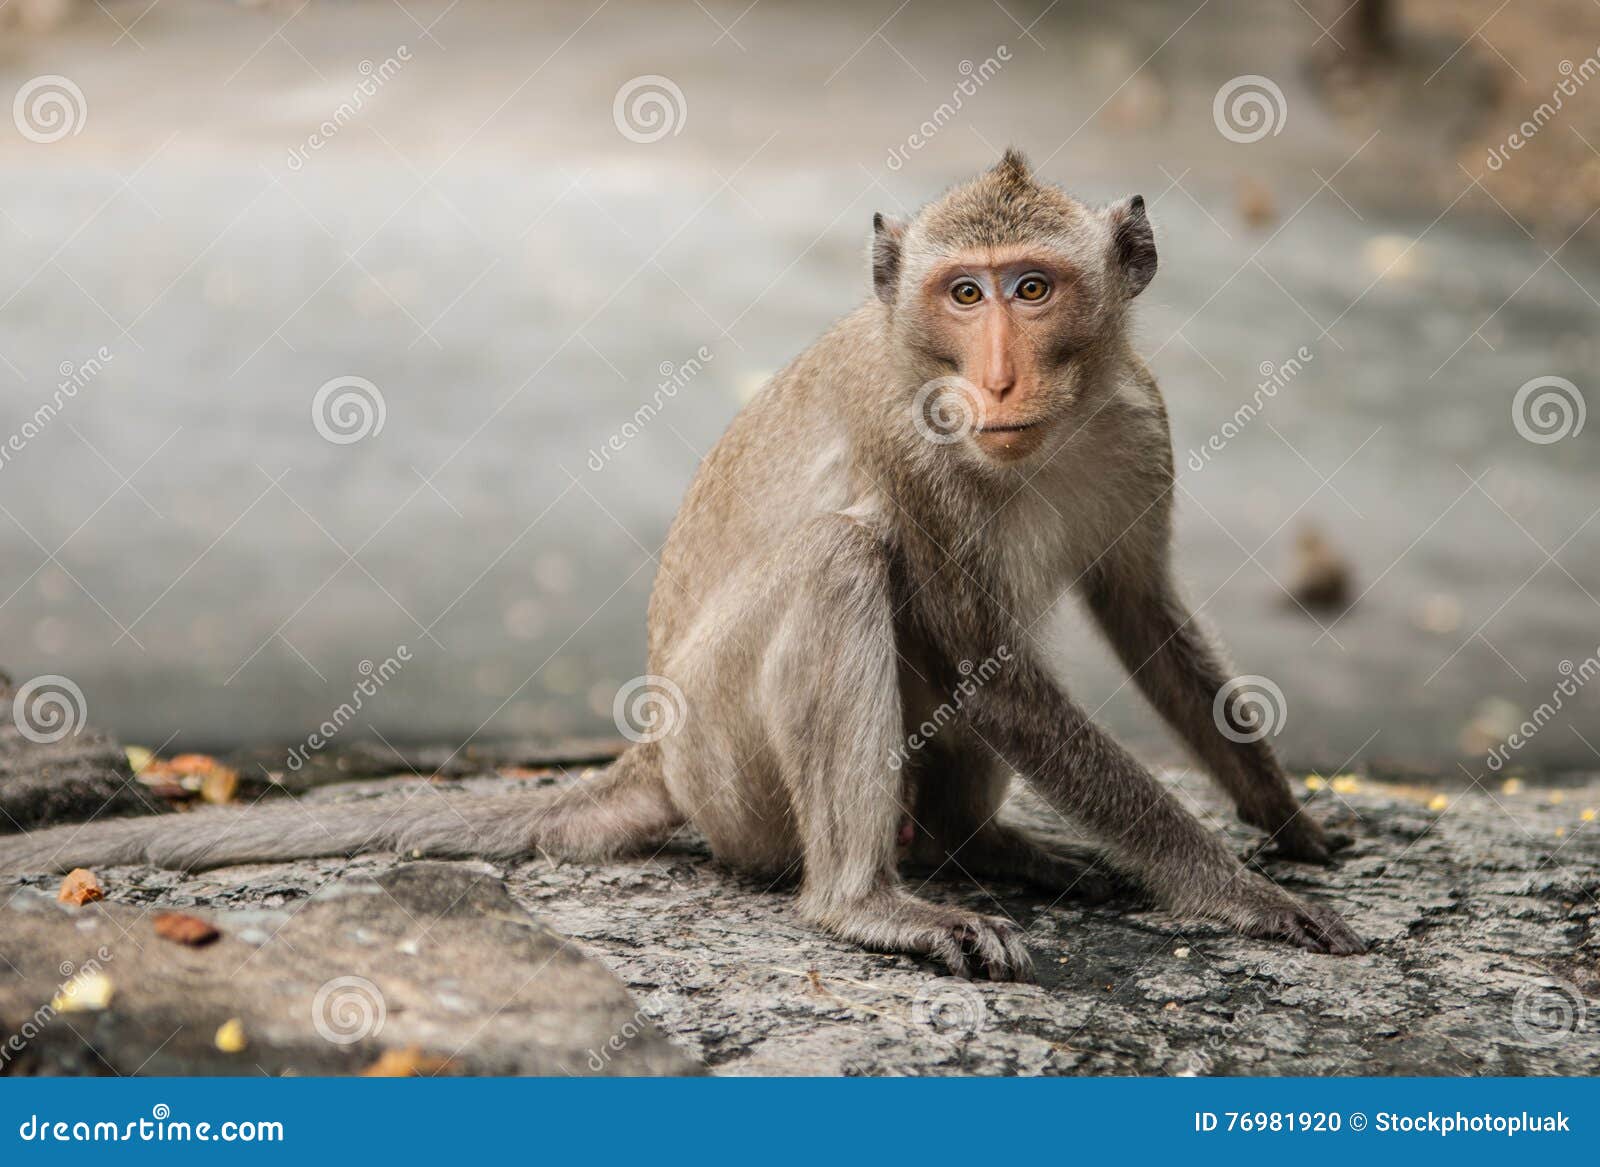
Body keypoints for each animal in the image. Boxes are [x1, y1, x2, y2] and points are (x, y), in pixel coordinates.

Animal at [2, 151, 1364, 980]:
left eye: (1033, 288)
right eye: (963, 293)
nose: (995, 378)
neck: (1051, 428)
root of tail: (654, 756)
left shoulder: (1140, 427)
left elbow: (1144, 614)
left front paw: (1283, 820)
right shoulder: (909, 440)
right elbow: (990, 664)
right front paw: (1226, 888)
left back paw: (984, 846)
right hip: (730, 770)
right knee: (843, 557)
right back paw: (867, 899)